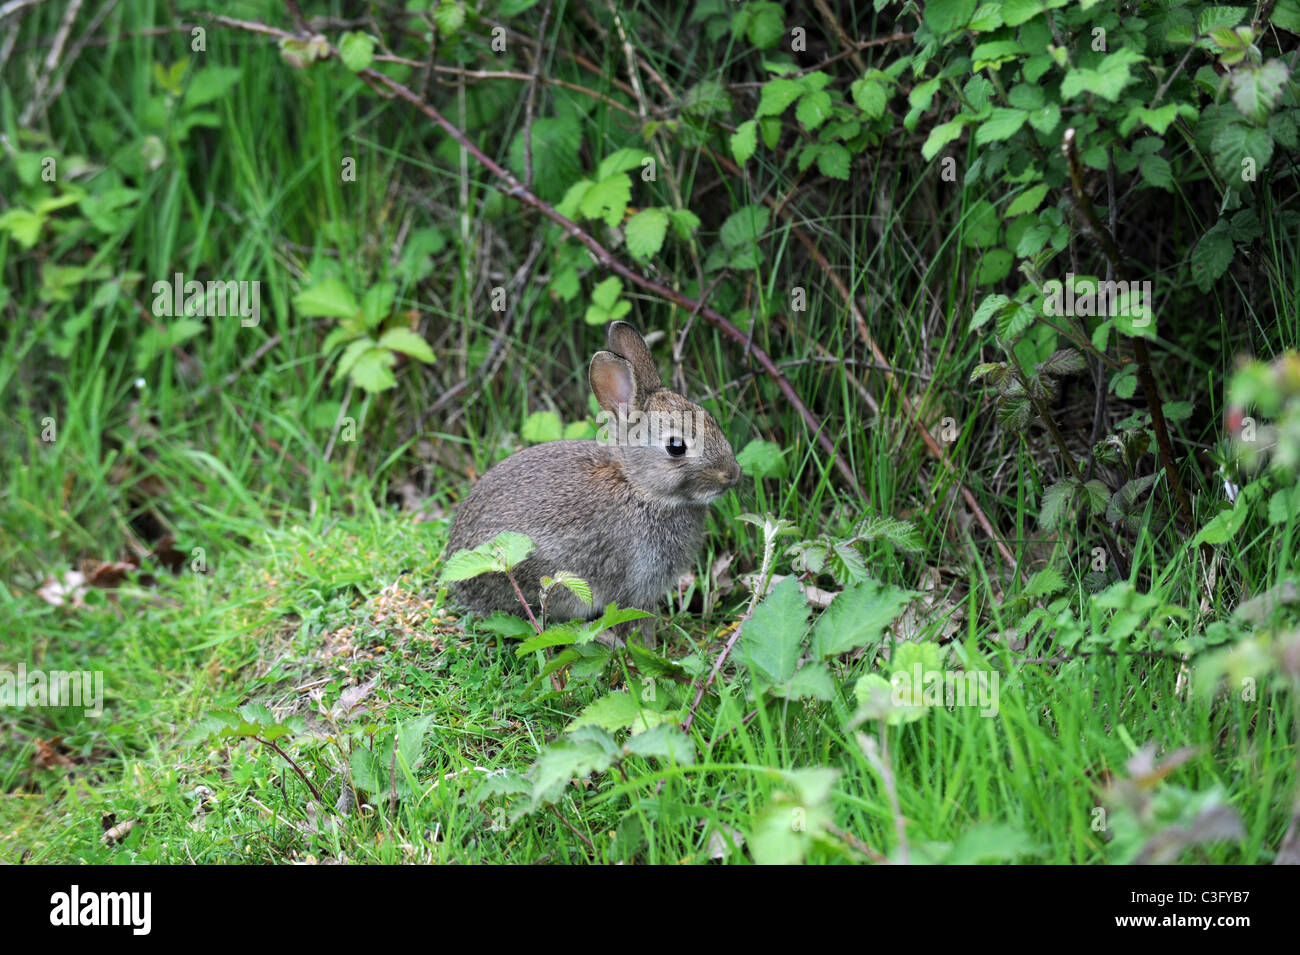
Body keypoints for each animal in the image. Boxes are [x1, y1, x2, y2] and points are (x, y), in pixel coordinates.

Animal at [445, 321, 742, 644]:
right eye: (676, 447)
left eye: (710, 418)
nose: (732, 474)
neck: (639, 488)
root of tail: (461, 586)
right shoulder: (636, 581)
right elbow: (637, 620)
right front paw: (647, 648)